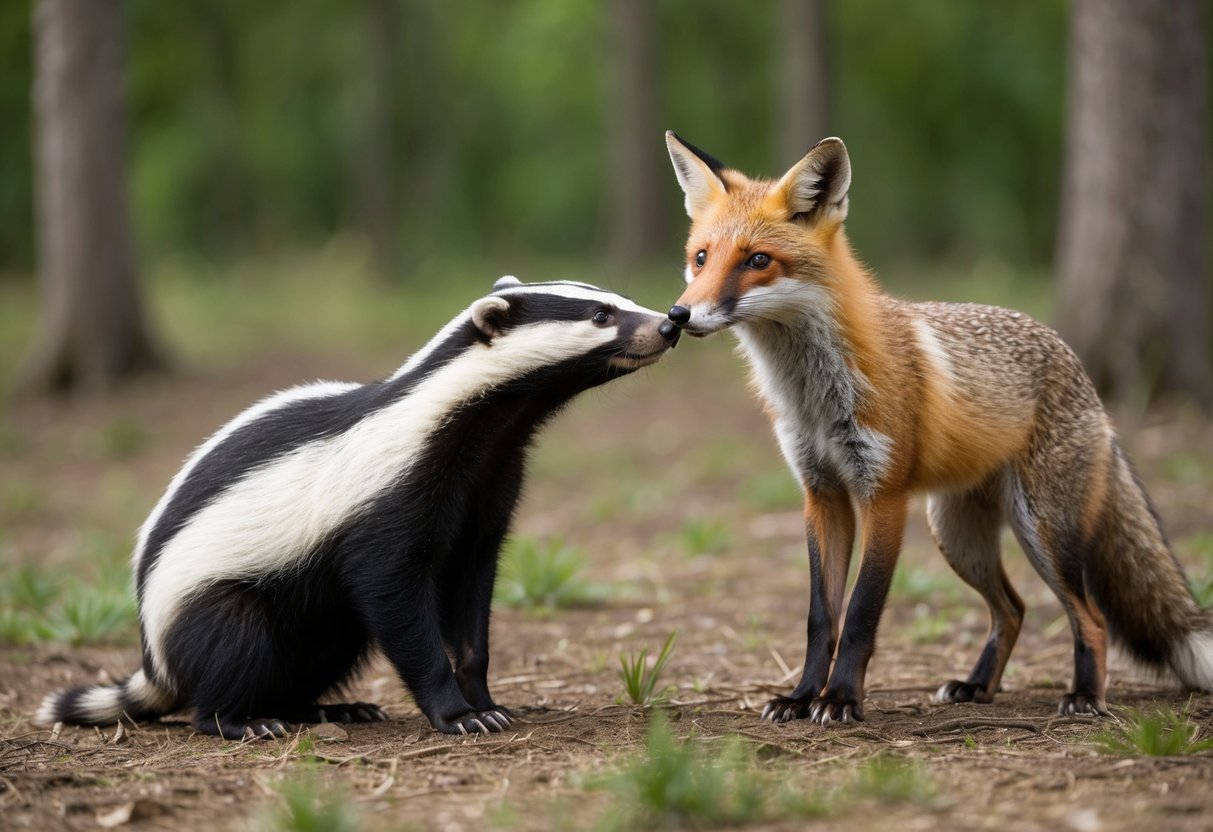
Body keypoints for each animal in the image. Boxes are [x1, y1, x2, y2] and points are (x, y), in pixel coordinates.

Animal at [663, 131, 1213, 725]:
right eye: (701, 258)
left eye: (758, 260)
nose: (677, 316)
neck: (814, 396)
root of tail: (1087, 381)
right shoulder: (822, 494)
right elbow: (820, 619)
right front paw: (803, 696)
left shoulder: (884, 496)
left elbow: (860, 616)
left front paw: (841, 700)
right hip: (957, 536)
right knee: (1013, 609)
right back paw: (977, 687)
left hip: (1041, 530)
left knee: (1090, 616)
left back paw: (1086, 696)